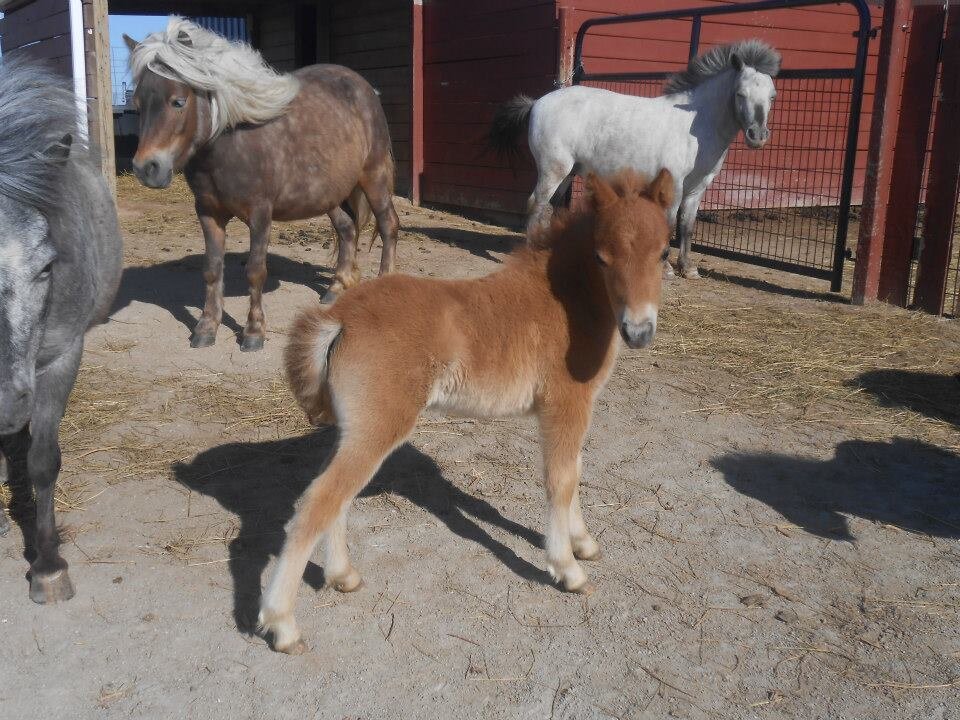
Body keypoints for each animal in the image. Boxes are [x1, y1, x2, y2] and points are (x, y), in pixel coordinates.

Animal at [123, 17, 399, 351]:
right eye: (138, 104)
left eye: (178, 101)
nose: (146, 168)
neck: (233, 140)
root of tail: (365, 88)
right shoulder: (208, 213)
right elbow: (211, 270)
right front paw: (206, 328)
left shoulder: (260, 214)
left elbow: (256, 271)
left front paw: (254, 332)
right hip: (330, 193)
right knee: (347, 229)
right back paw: (336, 288)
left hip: (373, 176)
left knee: (387, 224)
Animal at [258, 168, 674, 654]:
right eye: (601, 257)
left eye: (664, 252)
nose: (639, 331)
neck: (567, 301)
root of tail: (340, 317)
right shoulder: (565, 404)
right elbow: (561, 479)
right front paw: (568, 568)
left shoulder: (576, 409)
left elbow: (575, 470)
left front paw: (583, 542)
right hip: (379, 428)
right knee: (317, 503)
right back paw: (282, 623)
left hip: (356, 430)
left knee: (334, 497)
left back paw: (342, 576)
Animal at [488, 39, 780, 279]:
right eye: (740, 93)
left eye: (772, 96)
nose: (757, 136)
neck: (696, 124)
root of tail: (537, 103)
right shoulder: (674, 184)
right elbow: (670, 223)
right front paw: (666, 270)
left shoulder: (698, 187)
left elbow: (687, 226)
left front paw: (688, 268)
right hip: (554, 170)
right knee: (536, 204)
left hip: (567, 173)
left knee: (551, 208)